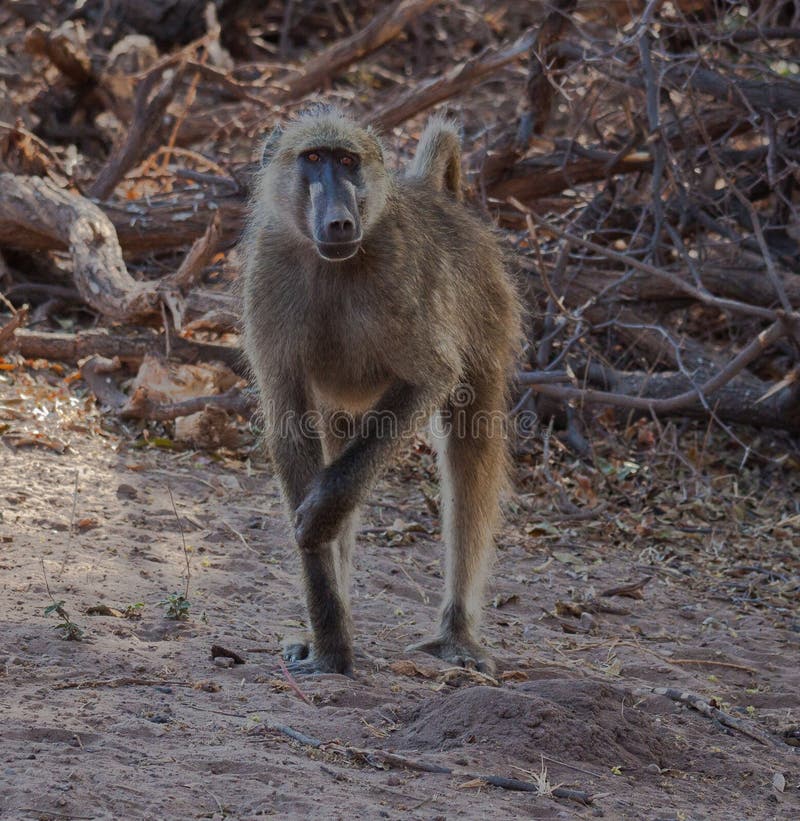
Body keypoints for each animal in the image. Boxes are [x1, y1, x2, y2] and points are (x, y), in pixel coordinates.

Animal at [241, 107, 522, 676]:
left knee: (471, 448)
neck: (330, 267)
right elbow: (291, 429)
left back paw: (457, 635)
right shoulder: (268, 279)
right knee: (340, 445)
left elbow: (433, 377)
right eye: (313, 158)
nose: (340, 222)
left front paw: (319, 515)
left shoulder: (399, 284)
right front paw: (330, 645)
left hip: (489, 310)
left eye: (348, 162)